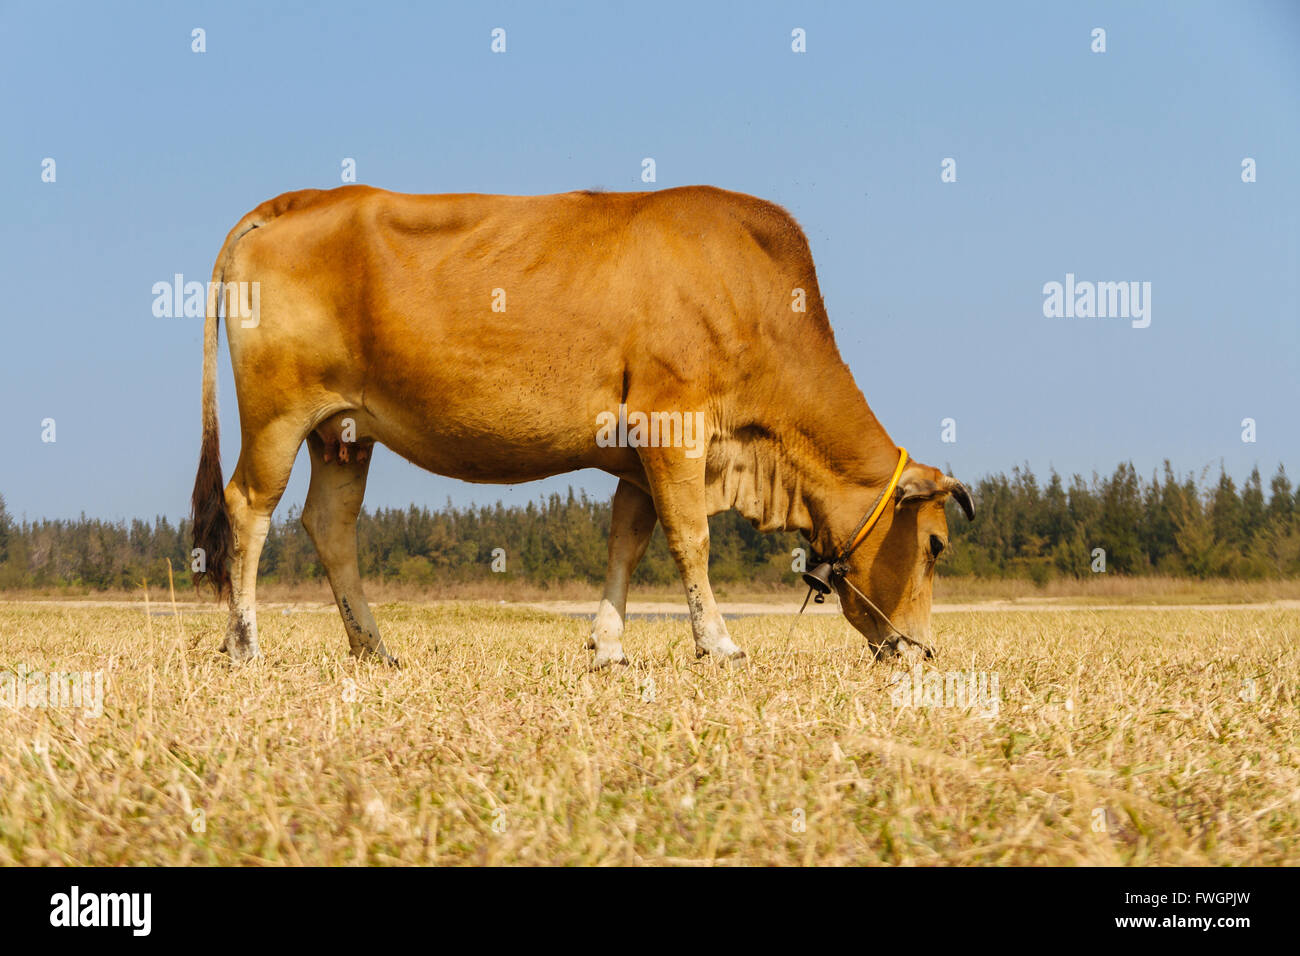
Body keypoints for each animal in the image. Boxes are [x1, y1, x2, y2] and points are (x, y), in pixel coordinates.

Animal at [191, 185, 974, 667]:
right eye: (935, 545)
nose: (921, 651)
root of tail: (301, 199)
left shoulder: (636, 458)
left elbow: (627, 542)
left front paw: (610, 647)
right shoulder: (674, 422)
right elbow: (691, 538)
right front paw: (717, 644)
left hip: (343, 432)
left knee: (330, 524)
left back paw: (374, 649)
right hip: (277, 413)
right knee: (247, 508)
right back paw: (246, 646)